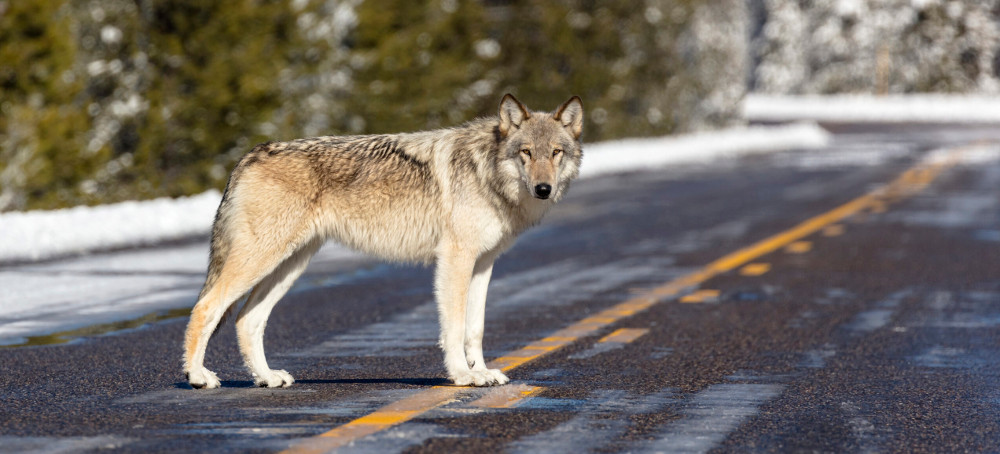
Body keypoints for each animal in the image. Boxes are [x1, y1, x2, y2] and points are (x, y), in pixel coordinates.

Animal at [182, 94, 584, 389]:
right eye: (526, 152)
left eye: (555, 153)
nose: (543, 189)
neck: (487, 172)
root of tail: (250, 154)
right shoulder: (455, 259)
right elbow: (454, 327)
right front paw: (462, 376)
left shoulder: (483, 263)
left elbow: (476, 328)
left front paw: (482, 371)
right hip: (261, 261)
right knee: (206, 307)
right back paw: (199, 377)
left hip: (289, 266)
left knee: (246, 320)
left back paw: (266, 378)